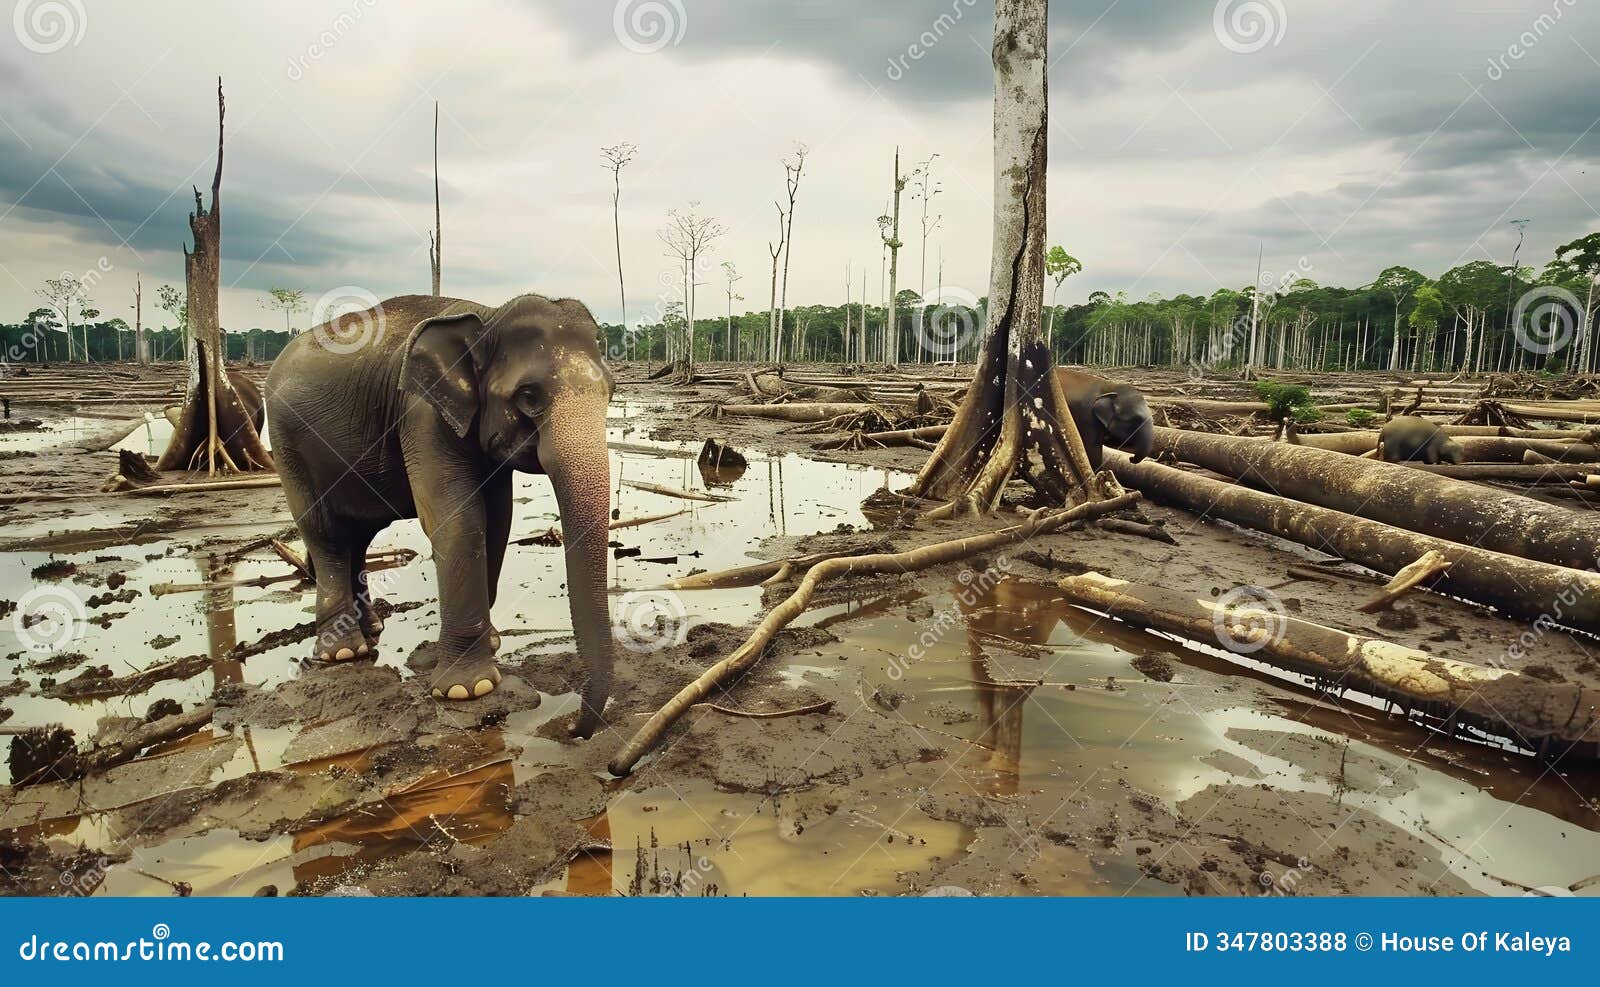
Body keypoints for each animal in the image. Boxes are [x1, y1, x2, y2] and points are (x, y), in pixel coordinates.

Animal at [264, 294, 616, 737]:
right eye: (529, 396)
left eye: (611, 391)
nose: (572, 728)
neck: (487, 315)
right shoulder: (421, 413)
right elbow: (459, 521)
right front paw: (469, 688)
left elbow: (498, 520)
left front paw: (491, 645)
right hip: (286, 443)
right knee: (325, 534)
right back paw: (341, 652)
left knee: (355, 538)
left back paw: (371, 628)